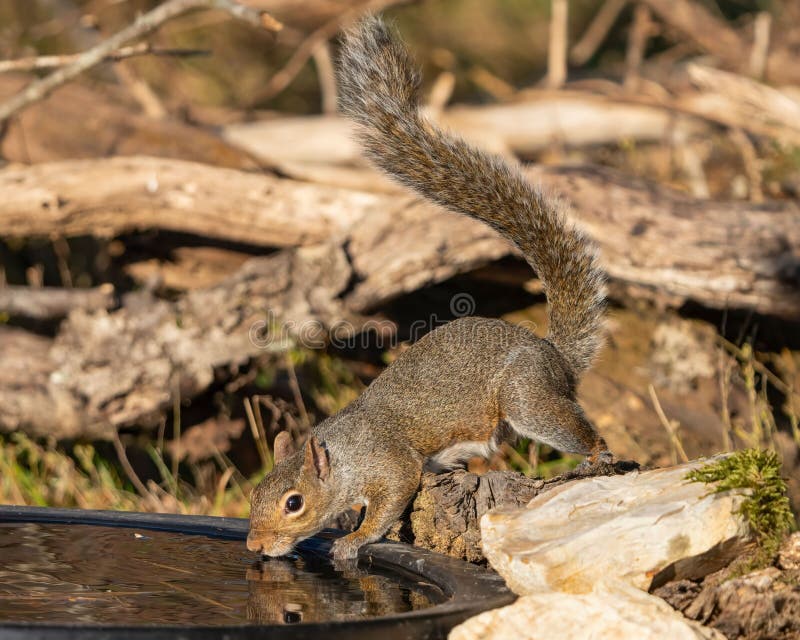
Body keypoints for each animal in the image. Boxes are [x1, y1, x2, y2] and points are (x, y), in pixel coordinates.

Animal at [247, 15, 611, 564]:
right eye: (255, 494)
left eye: (294, 503)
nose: (254, 544)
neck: (346, 454)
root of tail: (555, 356)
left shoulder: (392, 464)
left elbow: (391, 499)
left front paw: (352, 540)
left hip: (527, 399)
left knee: (576, 429)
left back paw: (595, 456)